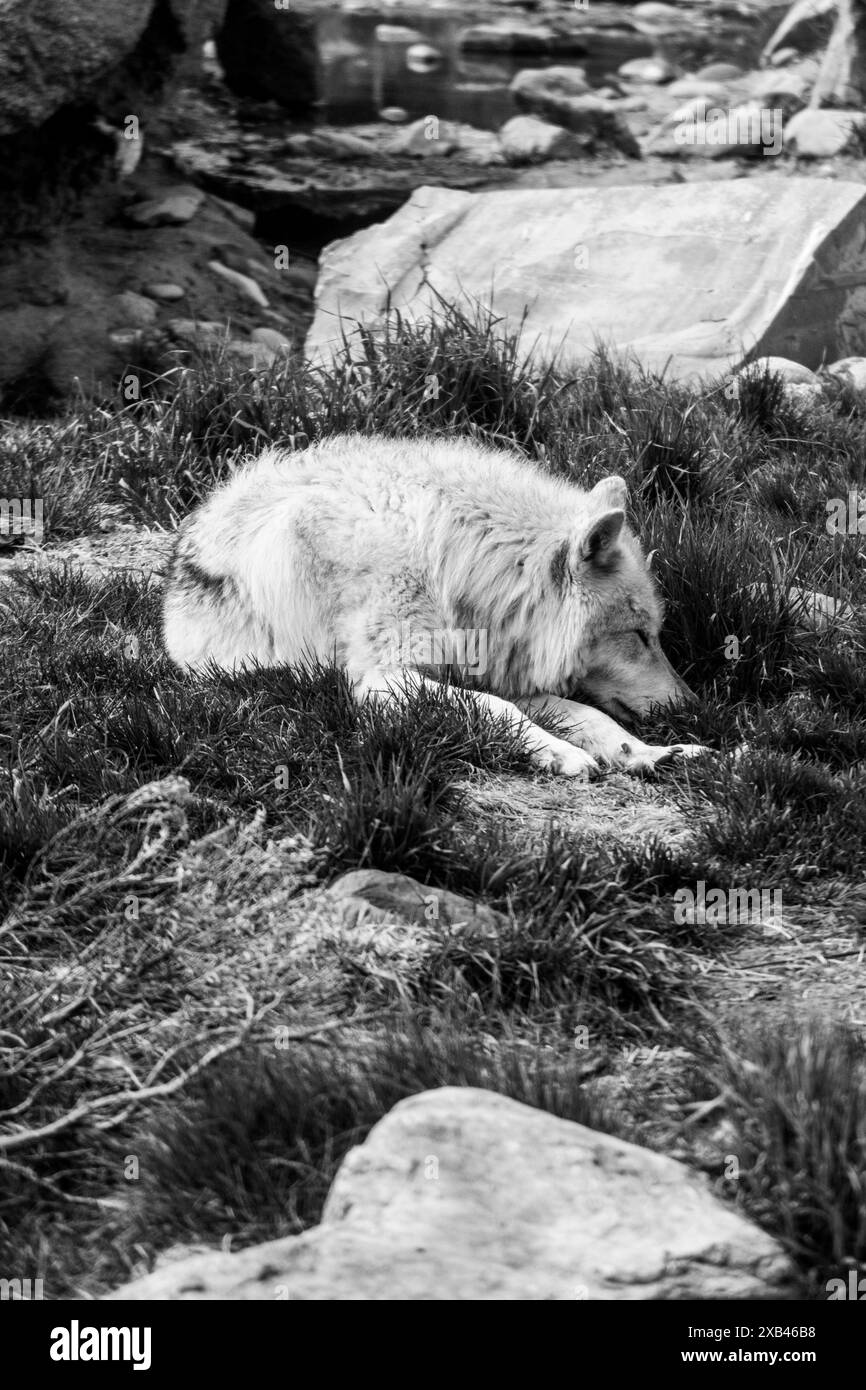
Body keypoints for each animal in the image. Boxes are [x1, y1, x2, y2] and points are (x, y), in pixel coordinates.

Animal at [163, 433, 706, 777]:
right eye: (638, 635)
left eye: (654, 635)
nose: (692, 705)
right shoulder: (382, 679)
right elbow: (501, 709)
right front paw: (561, 754)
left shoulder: (494, 664)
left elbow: (588, 716)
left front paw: (649, 753)